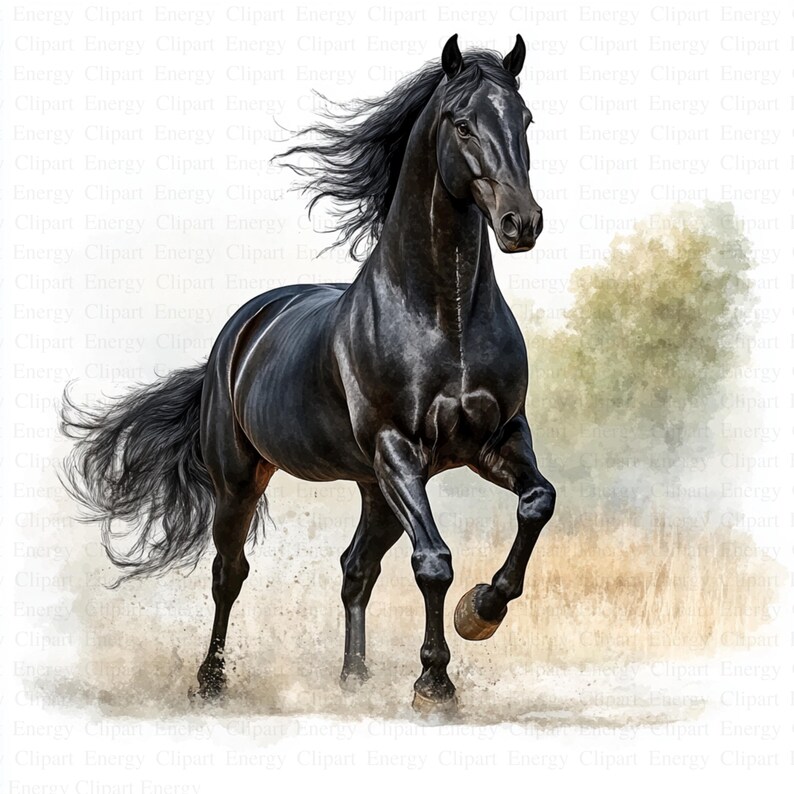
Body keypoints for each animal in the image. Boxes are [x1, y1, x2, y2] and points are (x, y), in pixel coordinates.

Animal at [60, 34, 556, 712]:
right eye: (462, 124)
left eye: (525, 119)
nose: (520, 224)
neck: (444, 317)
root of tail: (239, 333)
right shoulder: (398, 448)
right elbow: (434, 561)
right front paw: (435, 683)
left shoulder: (496, 439)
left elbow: (537, 502)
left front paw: (480, 611)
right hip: (245, 479)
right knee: (230, 572)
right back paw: (210, 682)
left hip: (375, 488)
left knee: (355, 568)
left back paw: (354, 678)